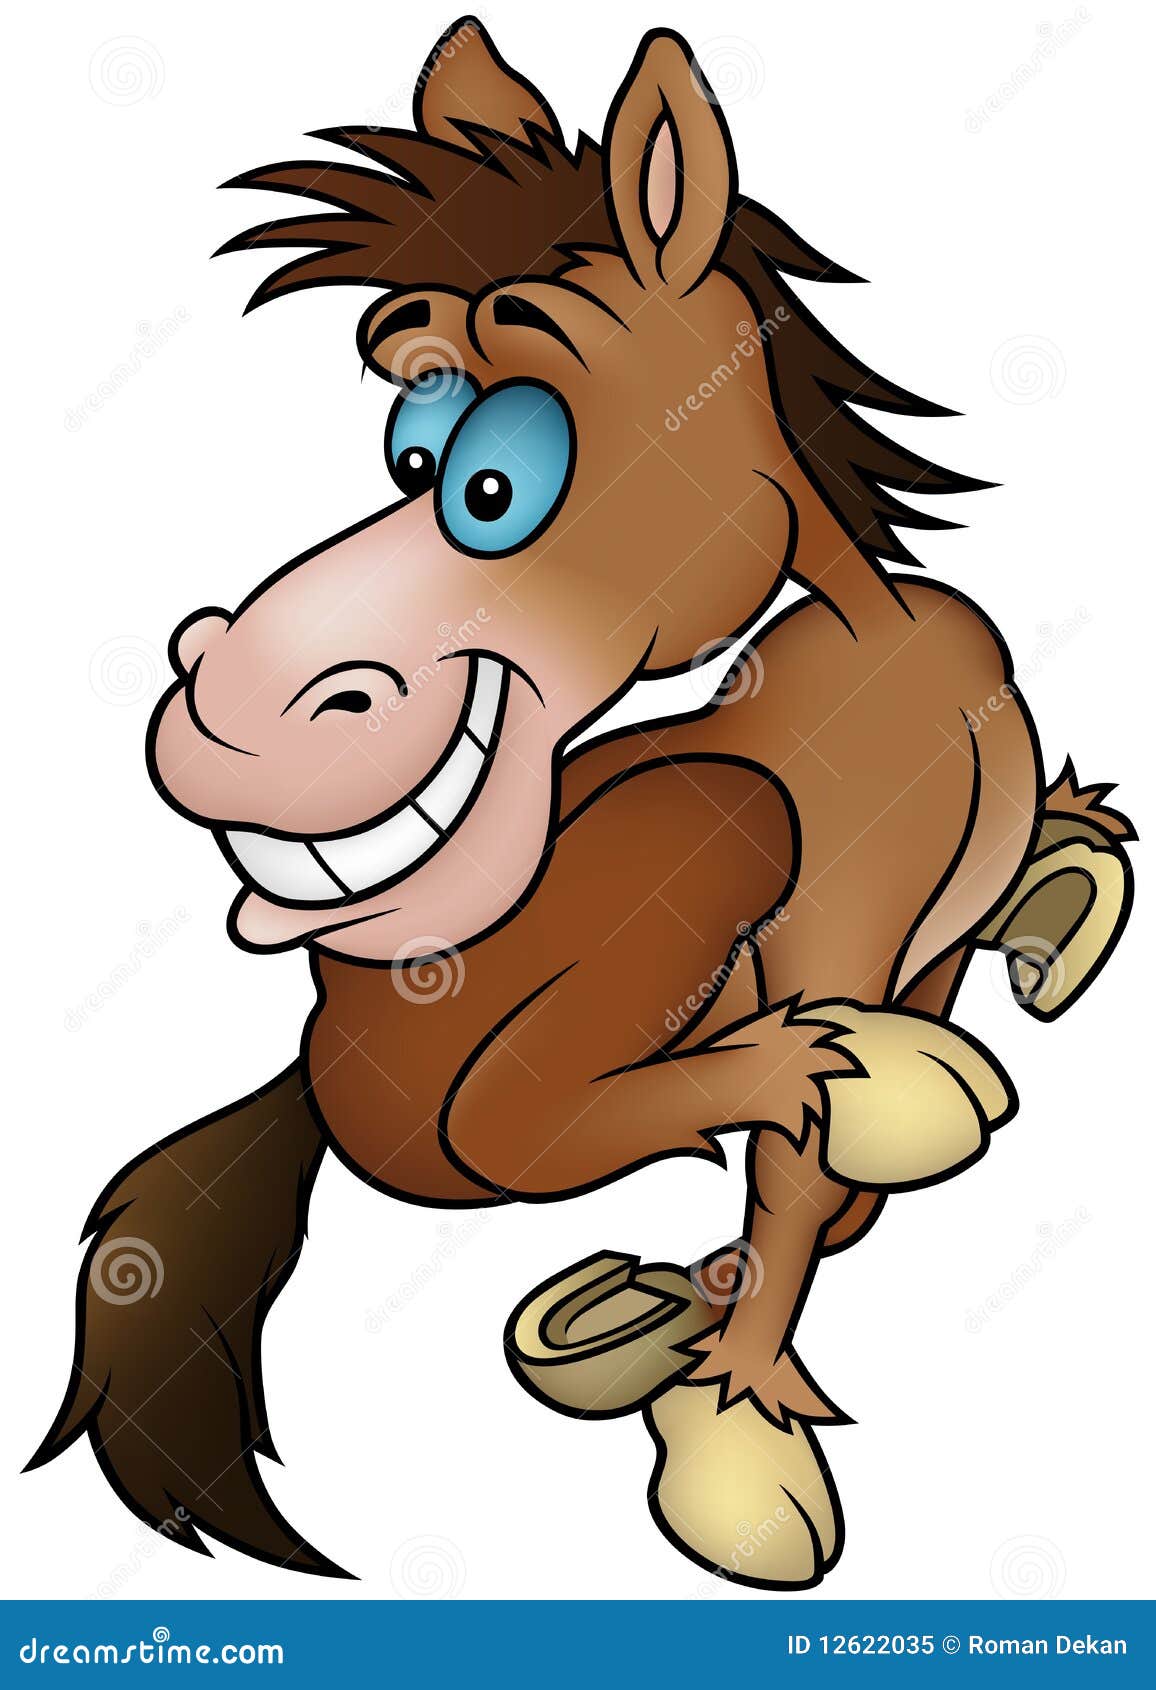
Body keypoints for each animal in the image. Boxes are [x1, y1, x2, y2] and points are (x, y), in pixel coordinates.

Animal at [31, 19, 1134, 1588]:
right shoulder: (829, 916)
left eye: (492, 483)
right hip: (701, 834)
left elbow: (832, 1189)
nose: (225, 702)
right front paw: (740, 1425)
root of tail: (319, 1050)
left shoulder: (916, 934)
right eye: (411, 458)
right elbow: (798, 1180)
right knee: (528, 1126)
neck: (879, 660)